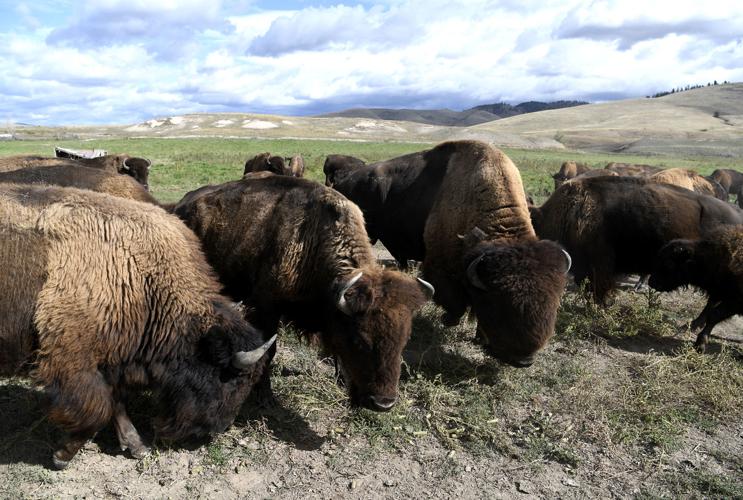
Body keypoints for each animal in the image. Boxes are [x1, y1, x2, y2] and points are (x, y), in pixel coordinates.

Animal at [0, 184, 275, 469]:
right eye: (230, 381)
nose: (217, 429)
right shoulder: (73, 361)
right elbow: (97, 410)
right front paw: (62, 456)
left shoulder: (113, 359)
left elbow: (116, 403)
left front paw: (137, 446)